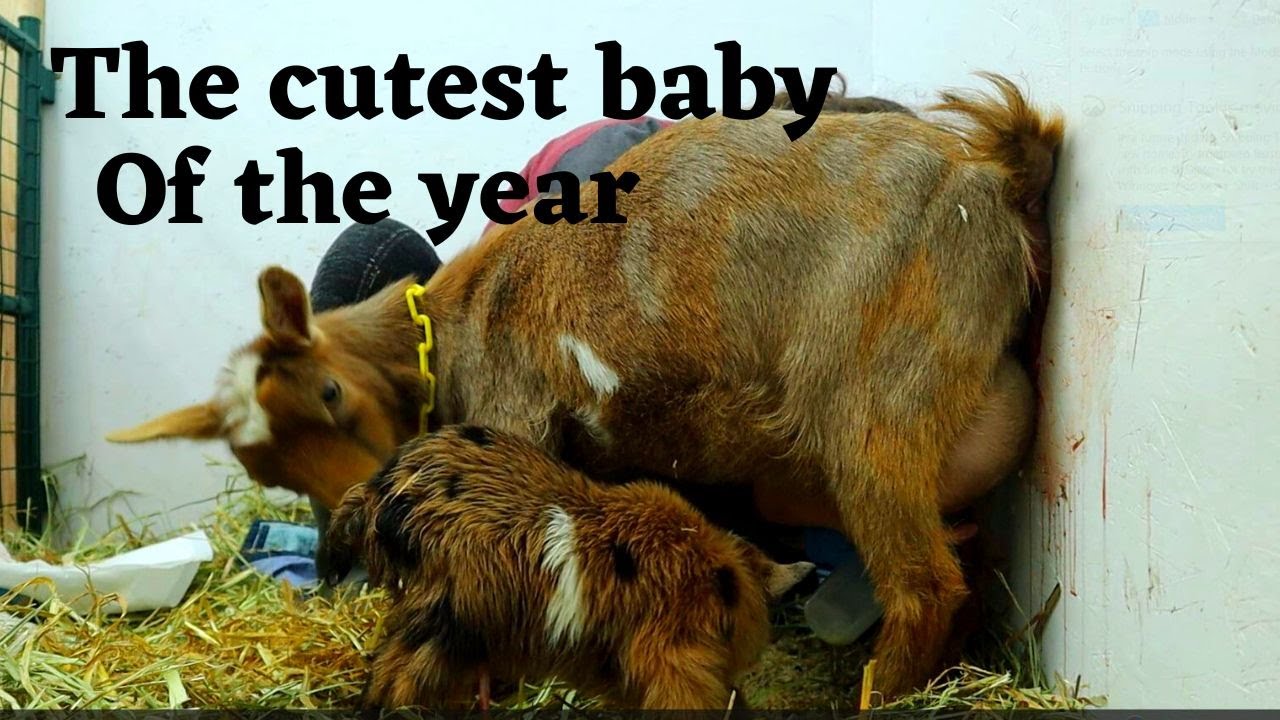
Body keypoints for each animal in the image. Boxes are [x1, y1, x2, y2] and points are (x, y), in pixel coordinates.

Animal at [108, 73, 1063, 694]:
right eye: (264, 472)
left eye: (333, 395)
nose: (347, 531)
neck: (457, 322)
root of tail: (989, 178)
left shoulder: (518, 426)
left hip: (873, 403)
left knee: (924, 583)